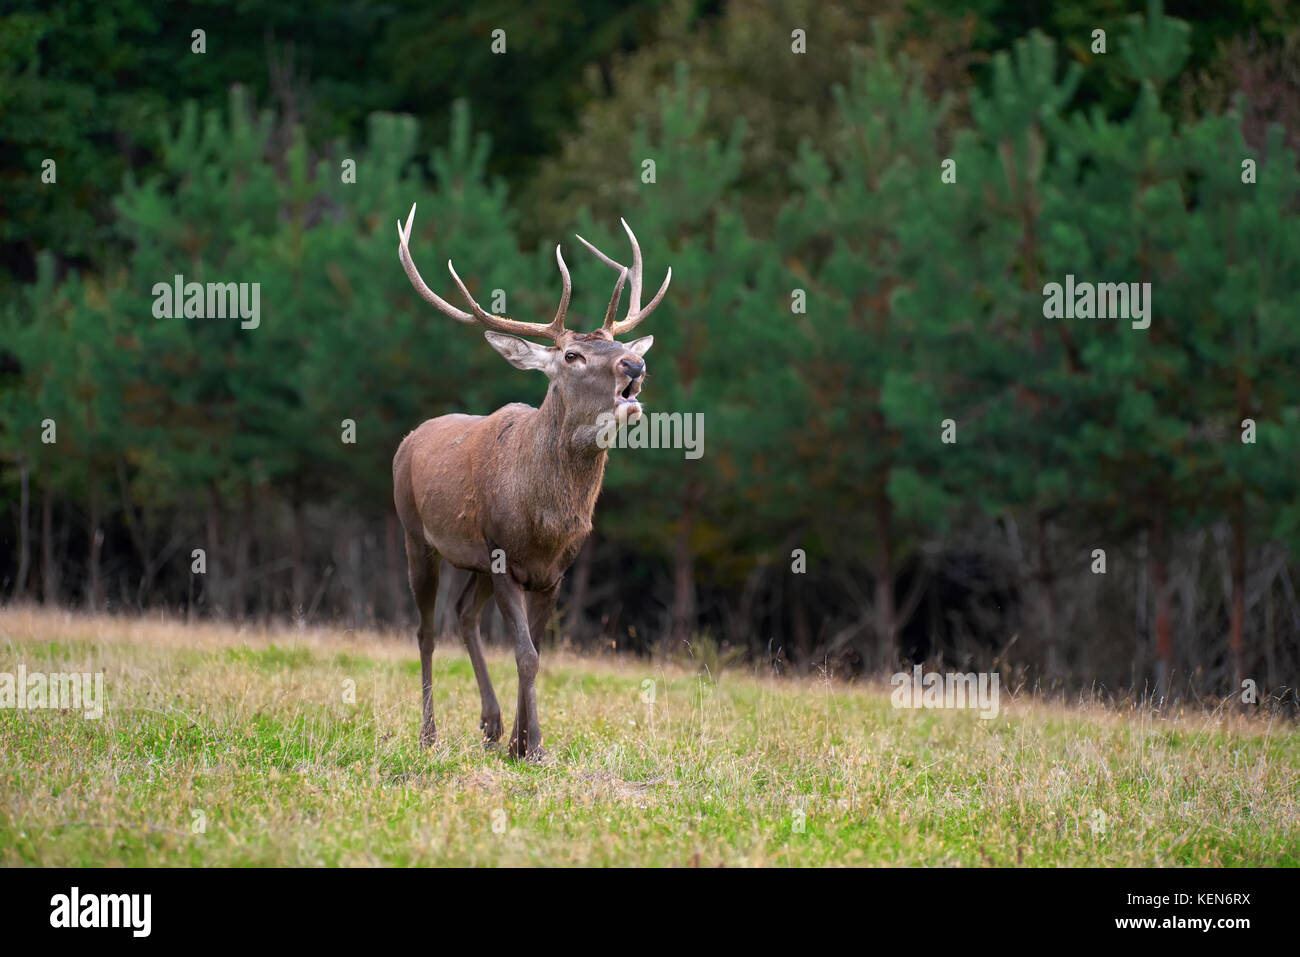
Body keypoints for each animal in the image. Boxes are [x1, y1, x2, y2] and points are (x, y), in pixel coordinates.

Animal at [391, 204, 671, 760]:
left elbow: (537, 649)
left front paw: (520, 742)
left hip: (474, 559)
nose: (635, 363)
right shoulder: (504, 556)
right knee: (426, 630)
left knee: (463, 614)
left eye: (619, 343)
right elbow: (525, 653)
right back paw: (429, 733)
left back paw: (491, 723)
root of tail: (408, 440)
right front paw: (534, 746)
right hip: (415, 532)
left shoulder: (553, 570)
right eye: (571, 356)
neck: (547, 521)